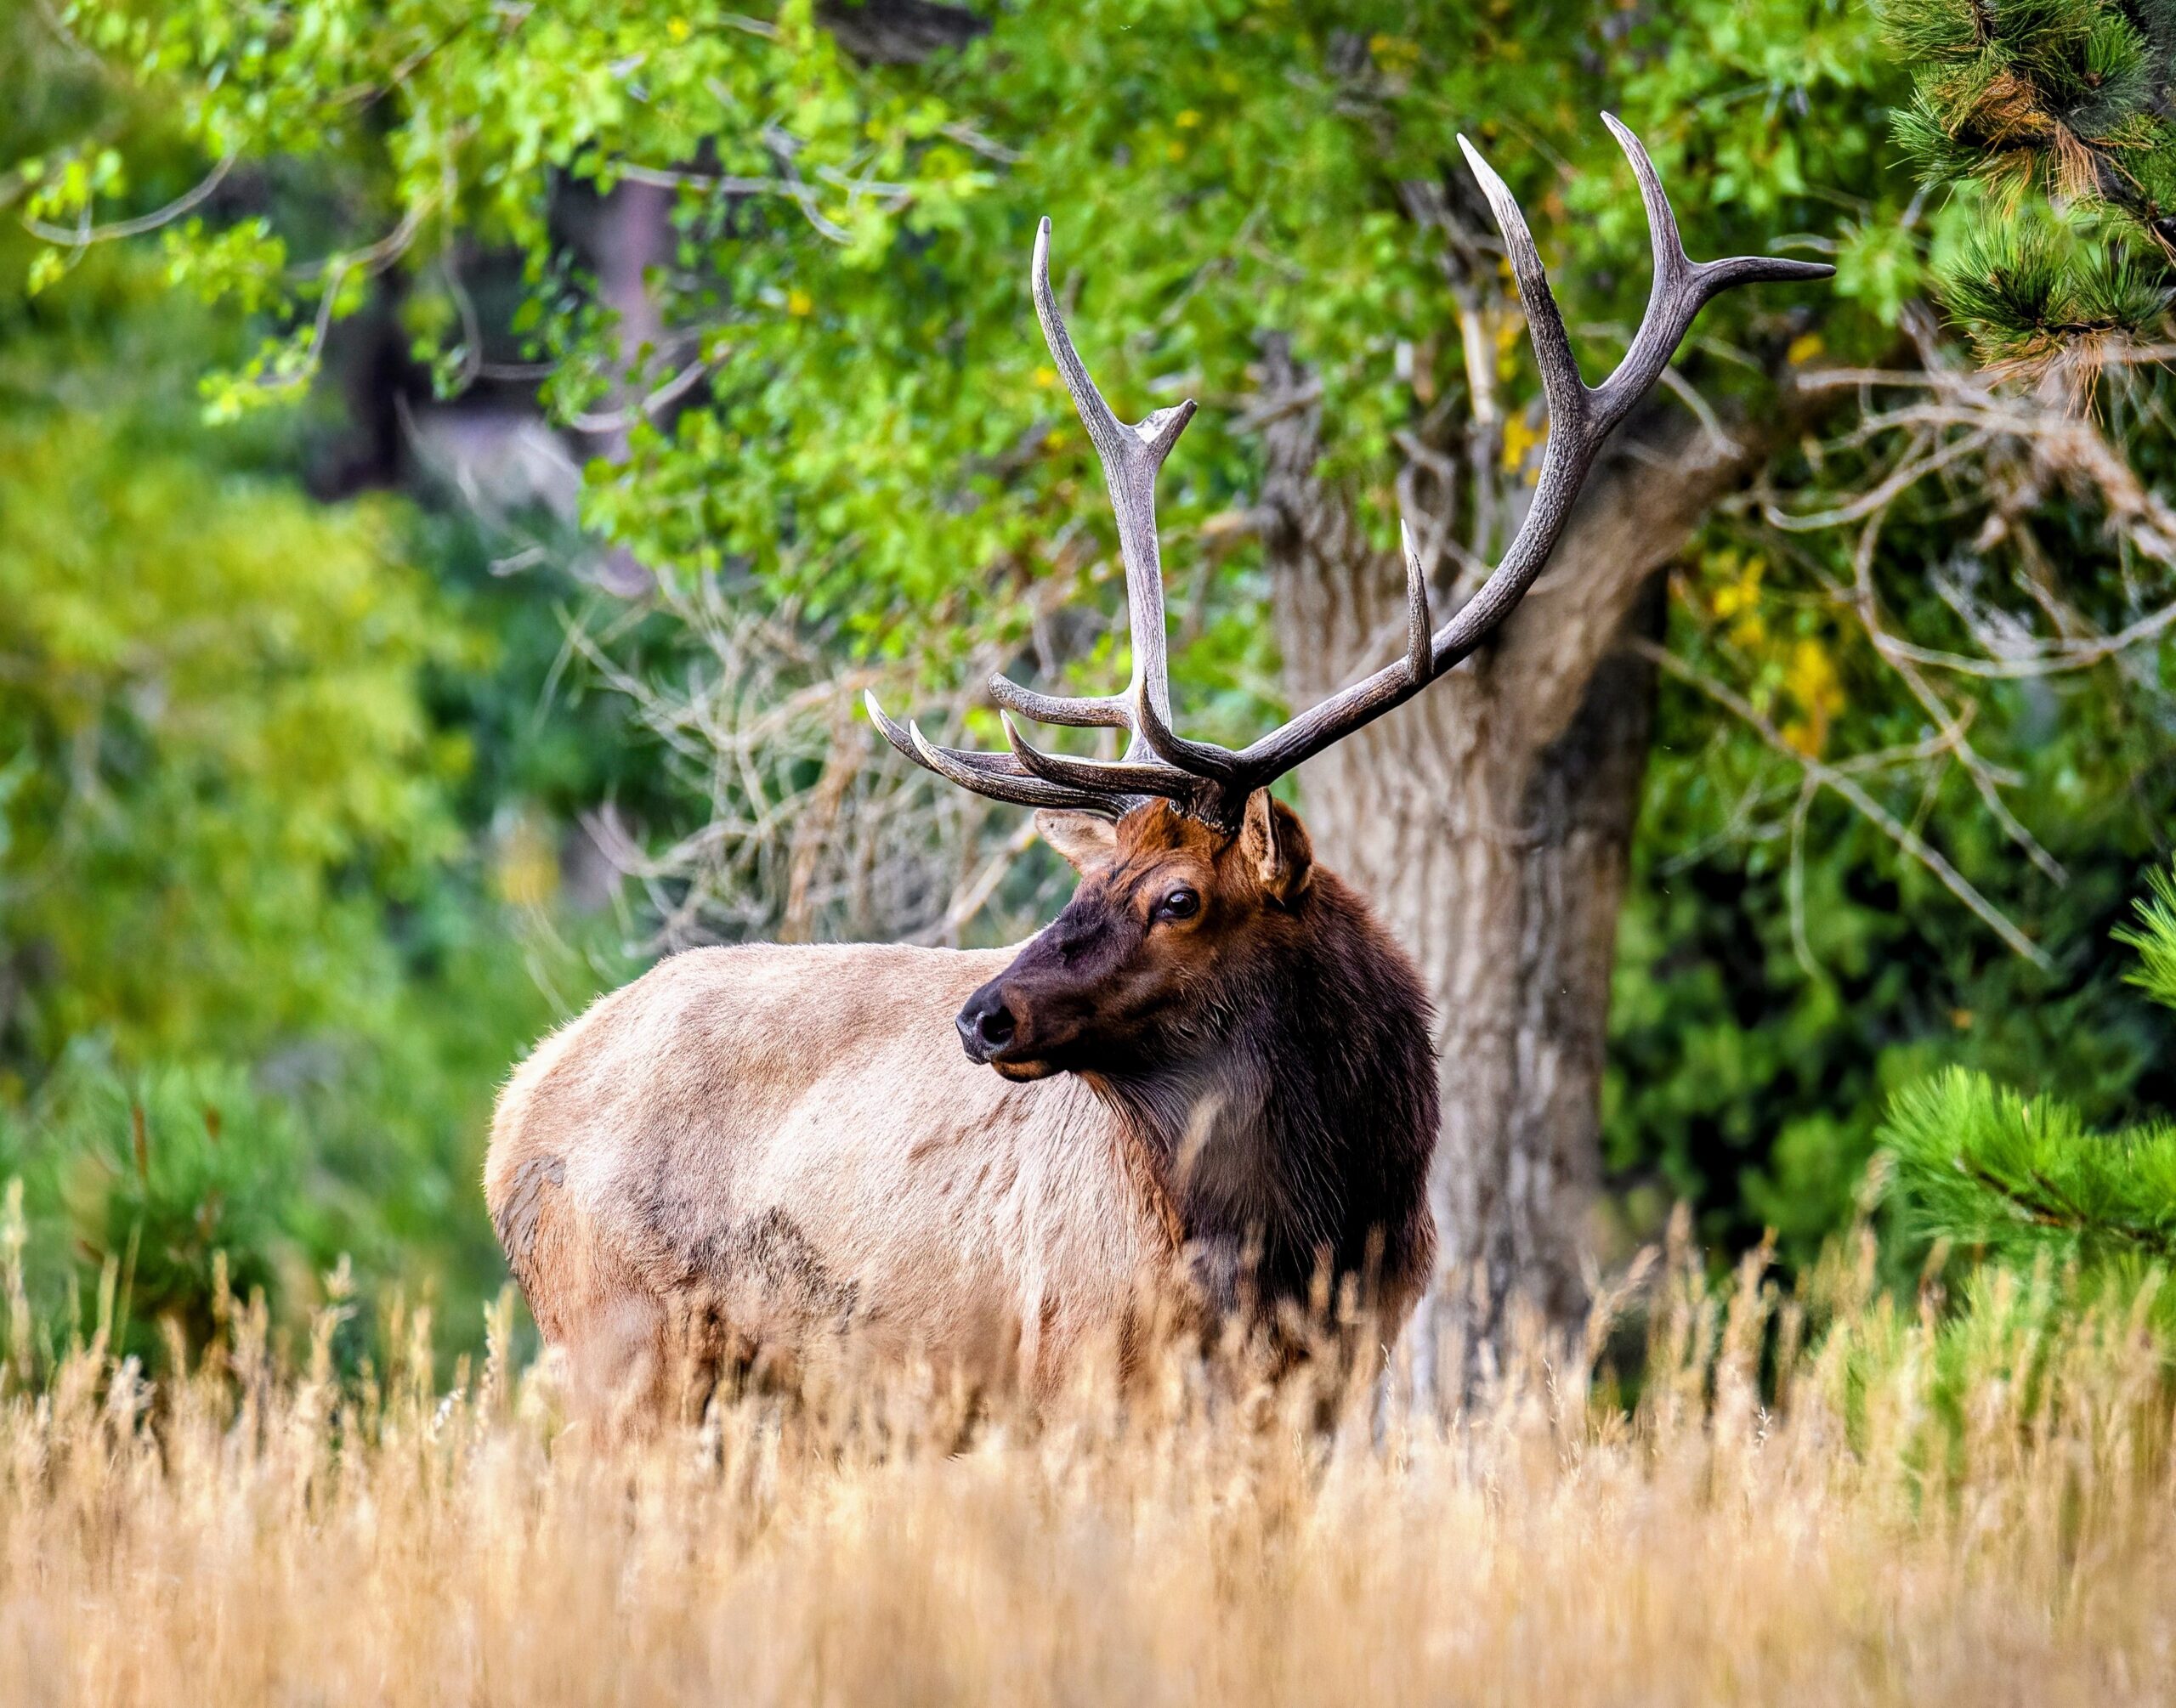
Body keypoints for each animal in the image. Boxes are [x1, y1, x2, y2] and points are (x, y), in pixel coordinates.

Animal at [485, 118, 1828, 1413]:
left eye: (1178, 896)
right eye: (1086, 883)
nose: (982, 1015)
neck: (1306, 1241)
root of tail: (513, 1107)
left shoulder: (1338, 1379)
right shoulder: (1083, 1366)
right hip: (623, 1344)